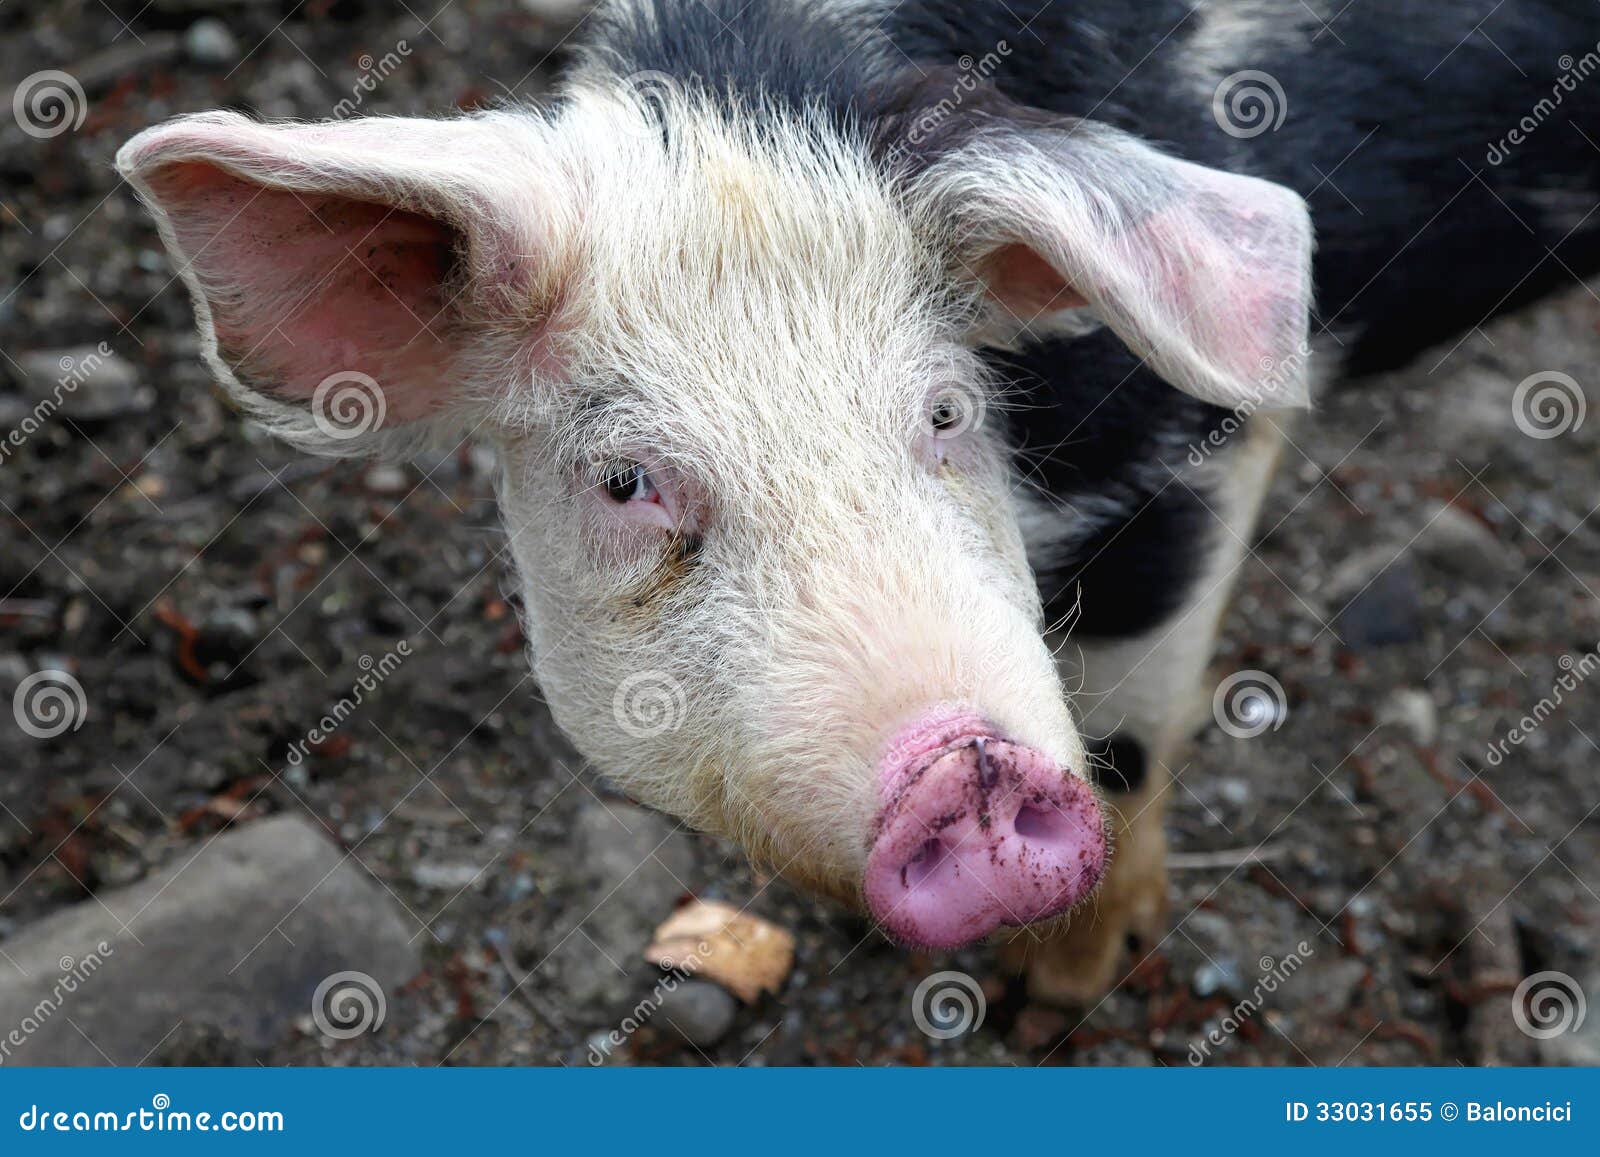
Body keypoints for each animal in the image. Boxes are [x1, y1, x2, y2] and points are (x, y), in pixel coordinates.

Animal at [117, 0, 1600, 1002]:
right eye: (626, 479)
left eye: (945, 412)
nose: (965, 764)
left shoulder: (1185, 447)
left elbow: (1130, 721)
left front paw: (1064, 991)